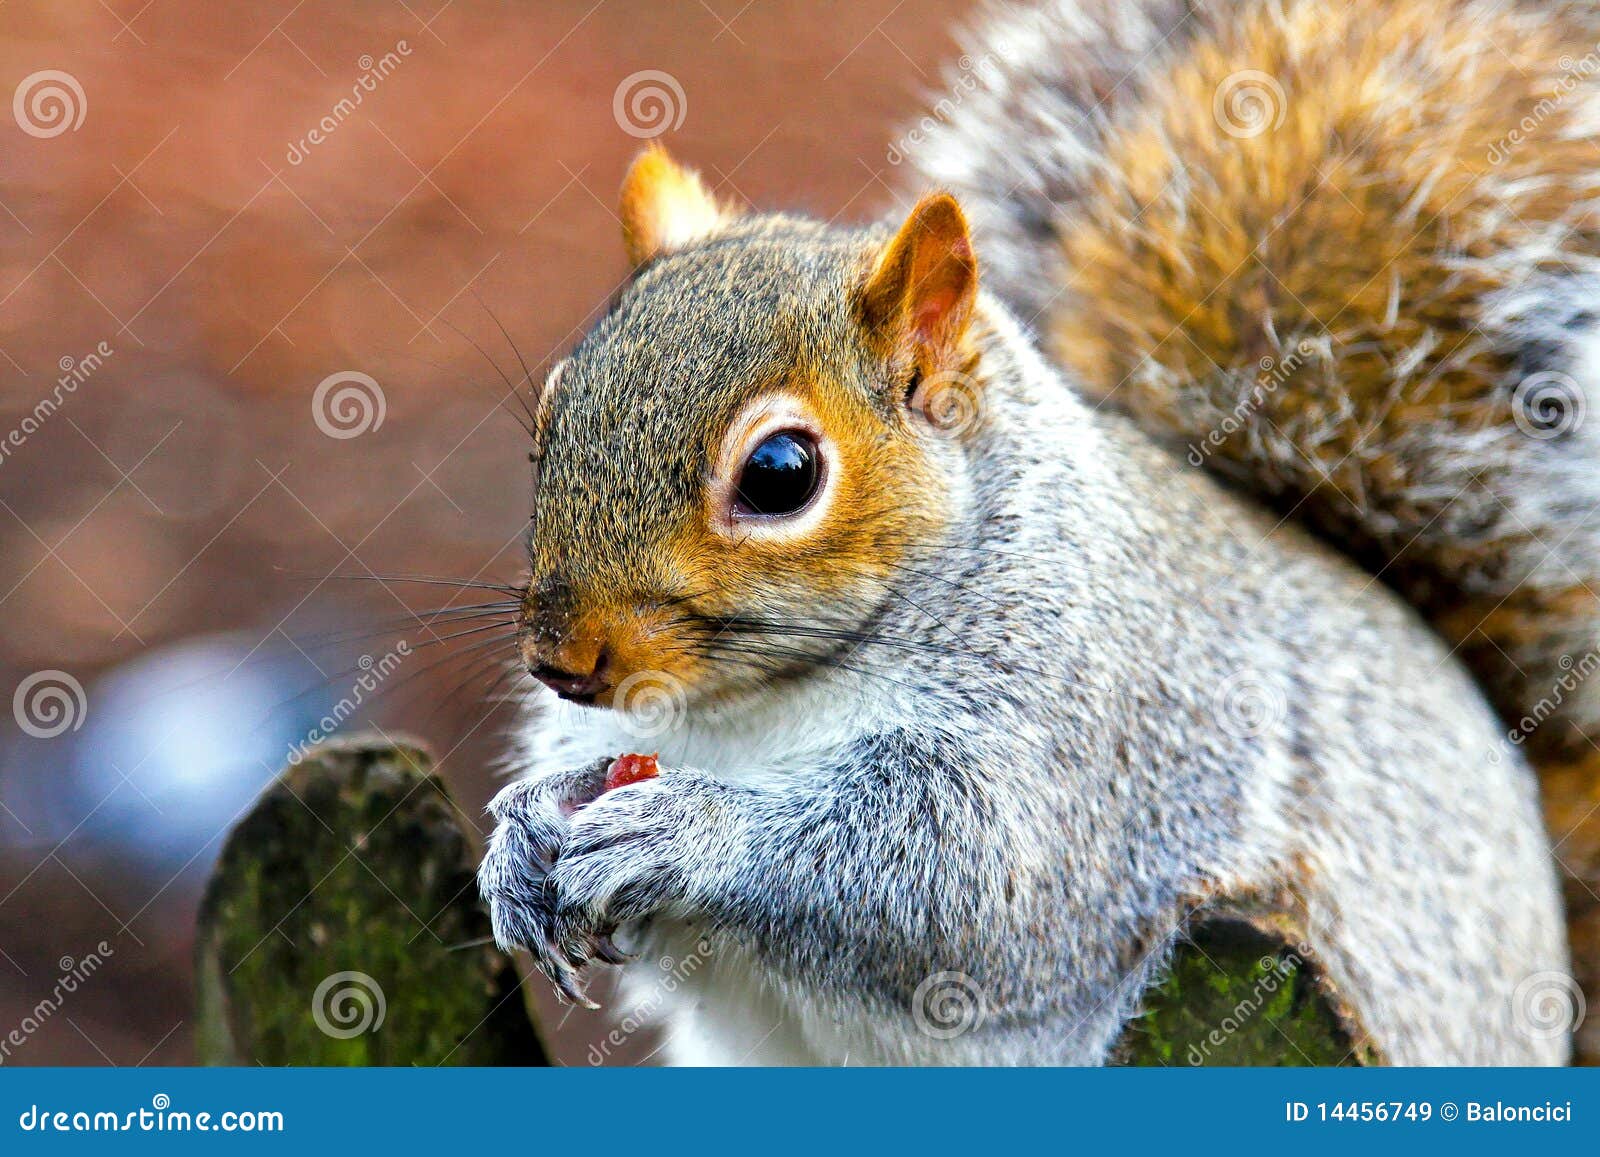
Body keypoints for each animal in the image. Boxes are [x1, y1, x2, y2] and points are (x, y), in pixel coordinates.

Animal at [477, 0, 1585, 1064]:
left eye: (781, 473)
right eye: (549, 420)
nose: (562, 660)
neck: (750, 704)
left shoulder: (1084, 735)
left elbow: (970, 883)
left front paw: (693, 831)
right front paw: (522, 836)